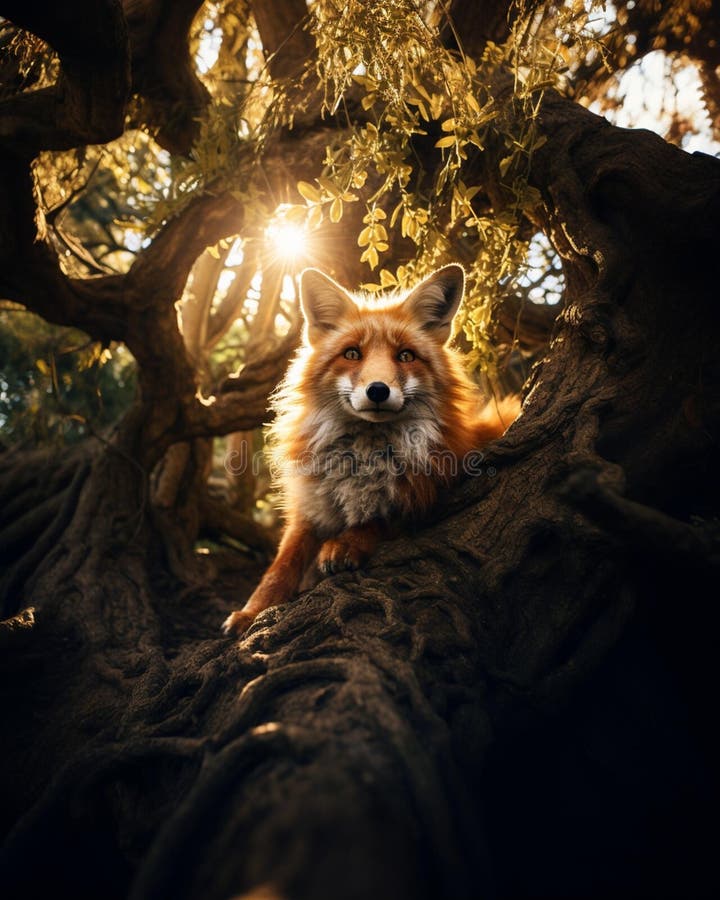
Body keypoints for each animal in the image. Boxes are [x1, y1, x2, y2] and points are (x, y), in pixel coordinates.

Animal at [222, 263, 518, 636]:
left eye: (406, 356)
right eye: (352, 353)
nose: (378, 390)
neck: (361, 461)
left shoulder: (428, 500)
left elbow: (379, 519)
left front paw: (347, 542)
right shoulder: (311, 505)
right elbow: (280, 565)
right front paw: (253, 611)